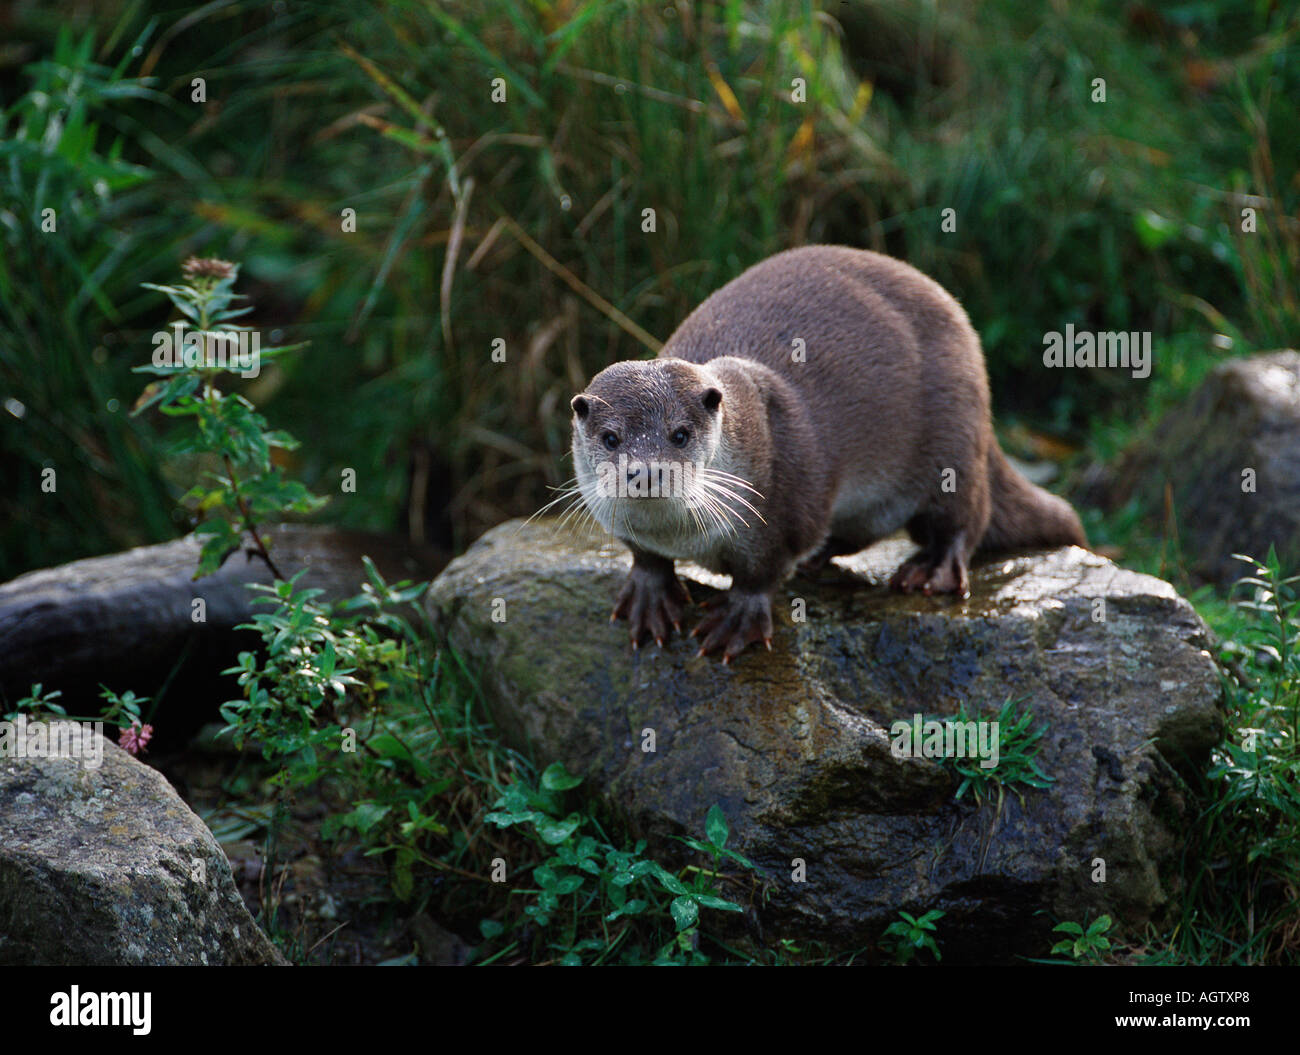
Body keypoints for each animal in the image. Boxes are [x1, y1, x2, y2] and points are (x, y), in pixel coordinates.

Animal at [569, 245, 1087, 661]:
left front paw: (738, 618)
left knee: (965, 518)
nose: (646, 472)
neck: (685, 539)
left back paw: (932, 570)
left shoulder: (783, 510)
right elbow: (644, 557)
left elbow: (761, 573)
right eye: (611, 438)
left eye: (679, 434)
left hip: (955, 433)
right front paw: (650, 596)